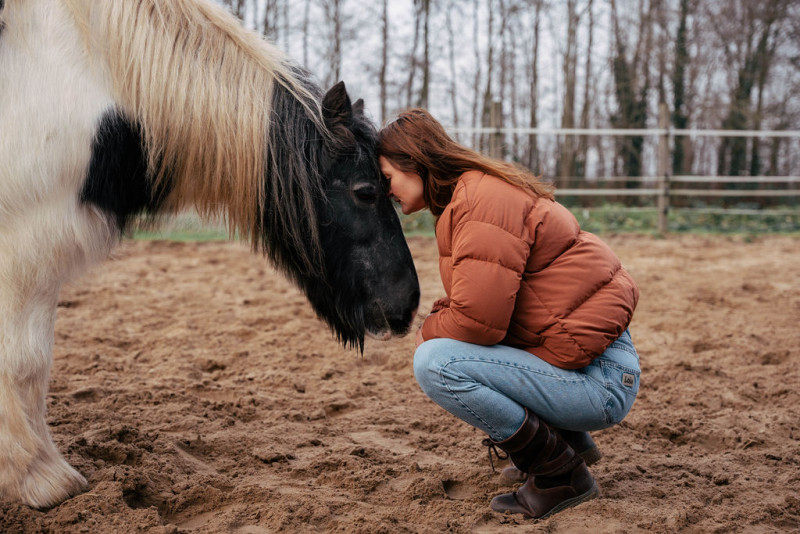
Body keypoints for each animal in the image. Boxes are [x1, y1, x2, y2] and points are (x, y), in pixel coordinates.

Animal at [0, 0, 420, 509]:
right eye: (365, 192)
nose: (409, 302)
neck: (90, 73)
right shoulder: (26, 242)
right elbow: (25, 361)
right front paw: (39, 478)